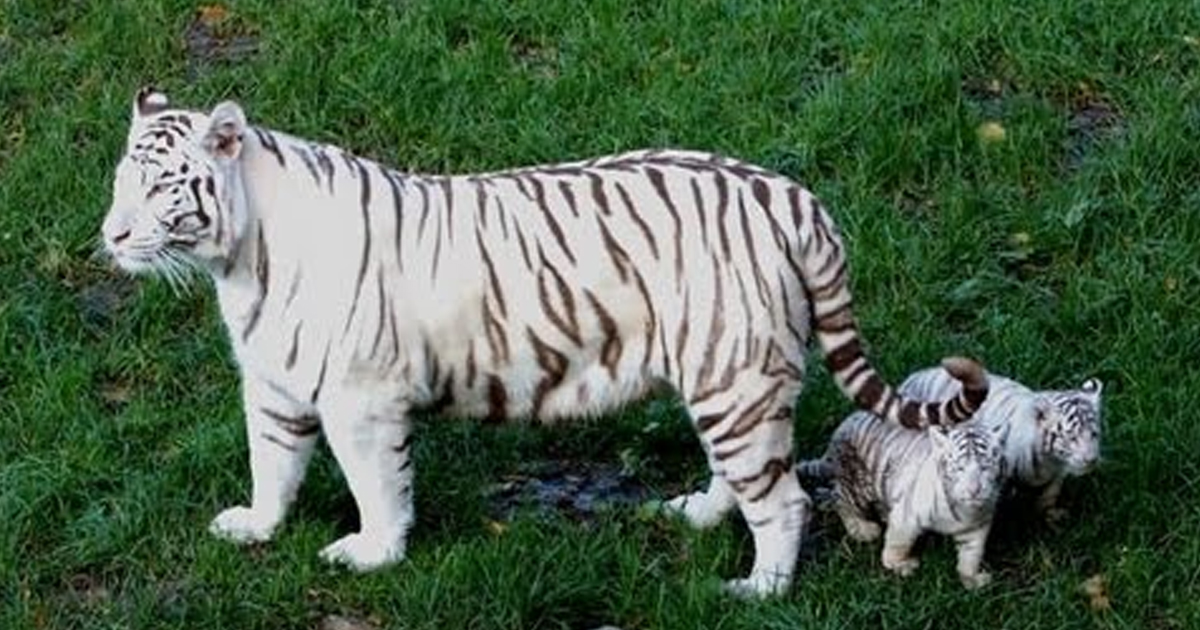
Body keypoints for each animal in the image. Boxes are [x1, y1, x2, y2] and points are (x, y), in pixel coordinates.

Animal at [796, 412, 1008, 589]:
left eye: (985, 467)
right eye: (959, 468)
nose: (974, 490)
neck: (964, 510)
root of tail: (842, 427)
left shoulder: (976, 528)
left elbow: (972, 555)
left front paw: (972, 579)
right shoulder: (907, 516)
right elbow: (898, 542)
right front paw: (899, 565)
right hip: (856, 486)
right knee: (841, 501)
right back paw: (864, 530)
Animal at [896, 366, 1104, 521]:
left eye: (1094, 434)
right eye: (1071, 437)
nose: (1091, 460)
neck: (1049, 459)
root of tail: (911, 378)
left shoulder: (1058, 473)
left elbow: (1049, 494)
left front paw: (1050, 515)